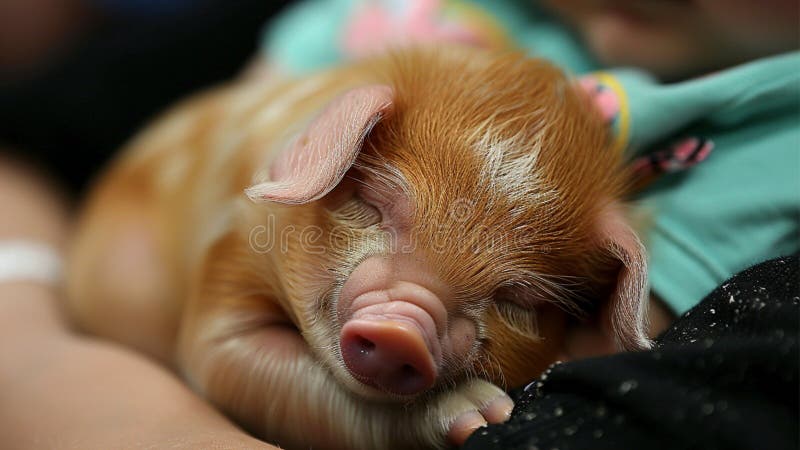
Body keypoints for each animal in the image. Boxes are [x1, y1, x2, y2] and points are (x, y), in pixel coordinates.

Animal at [65, 47, 650, 449]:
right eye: (373, 203)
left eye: (519, 301)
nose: (402, 330)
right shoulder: (227, 260)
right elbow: (226, 364)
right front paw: (481, 413)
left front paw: (492, 415)